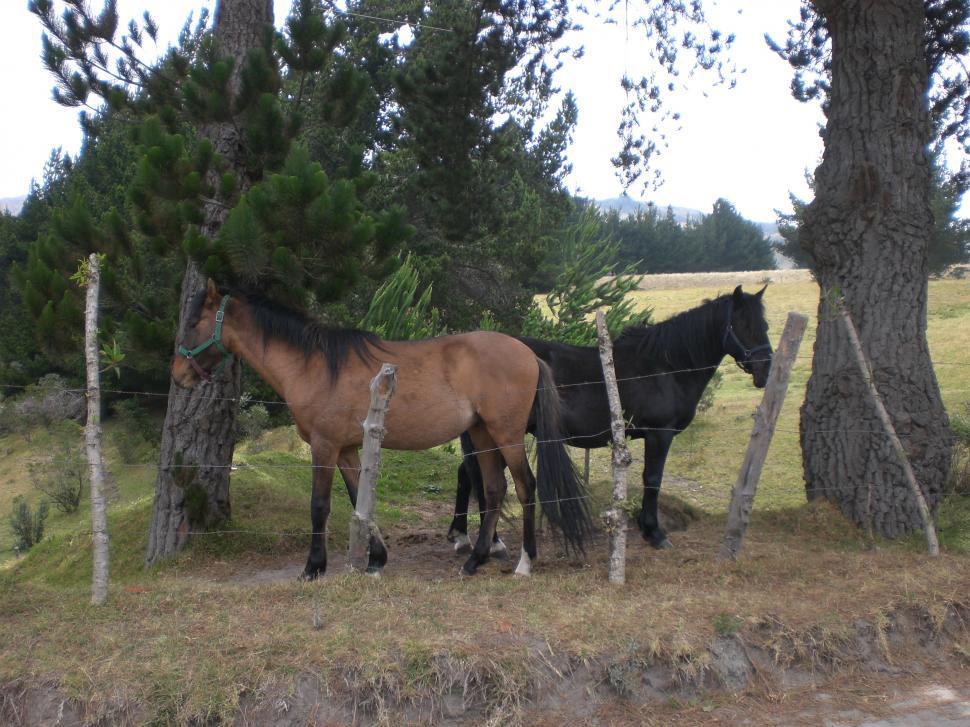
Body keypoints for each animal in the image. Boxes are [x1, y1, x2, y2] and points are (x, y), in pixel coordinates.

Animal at [172, 280, 592, 579]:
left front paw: (313, 567)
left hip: (506, 434)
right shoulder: (346, 449)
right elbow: (359, 499)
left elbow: (319, 505)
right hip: (483, 435)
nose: (177, 375)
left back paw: (525, 562)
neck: (315, 366)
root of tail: (528, 353)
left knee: (525, 487)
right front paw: (376, 558)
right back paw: (475, 561)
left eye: (193, 323)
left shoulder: (324, 447)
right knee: (493, 489)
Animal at [448, 285, 772, 552]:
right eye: (743, 325)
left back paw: (467, 537)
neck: (665, 366)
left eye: (765, 325)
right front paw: (654, 532)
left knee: (469, 475)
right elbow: (652, 479)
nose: (765, 369)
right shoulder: (659, 433)